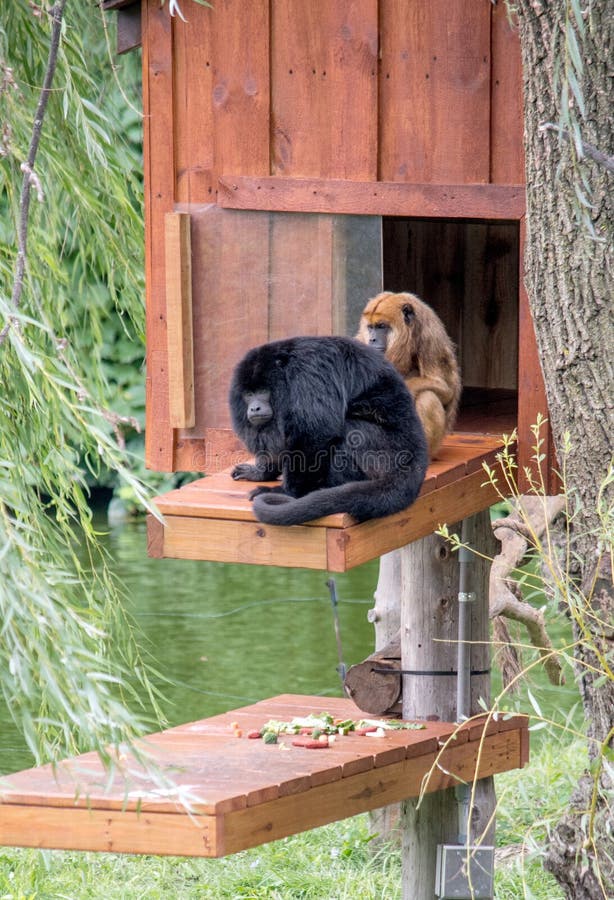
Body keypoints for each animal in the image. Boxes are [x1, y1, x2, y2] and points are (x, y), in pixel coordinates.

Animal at [229, 336, 428, 526]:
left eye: (263, 391)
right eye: (248, 394)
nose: (254, 408)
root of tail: (416, 458)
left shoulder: (307, 374)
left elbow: (315, 431)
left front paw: (287, 492)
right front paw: (259, 472)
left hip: (388, 451)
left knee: (351, 431)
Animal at [356, 291, 461, 458]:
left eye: (381, 326)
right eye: (371, 327)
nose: (372, 339)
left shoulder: (430, 336)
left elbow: (446, 389)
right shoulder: (361, 339)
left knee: (427, 397)